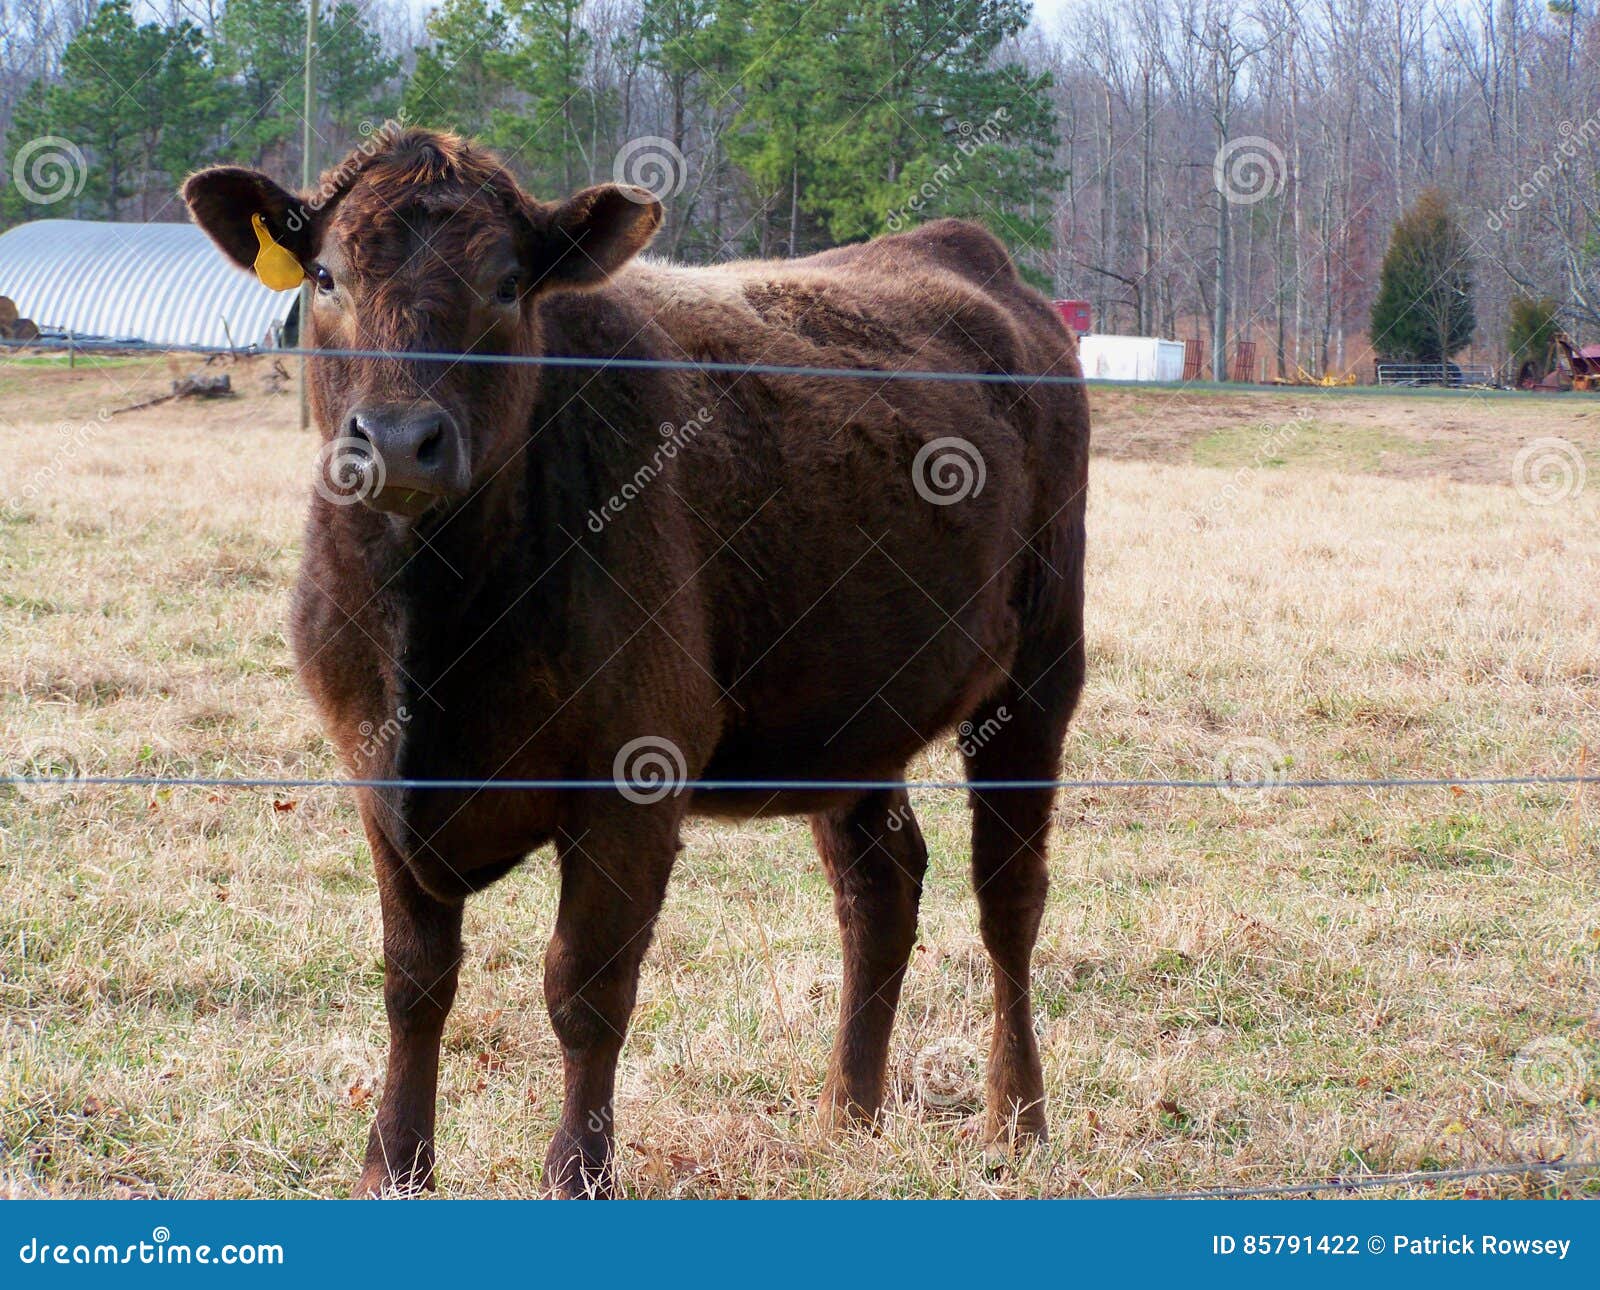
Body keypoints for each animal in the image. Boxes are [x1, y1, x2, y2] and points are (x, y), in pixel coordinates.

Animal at [182, 128, 1088, 1198]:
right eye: (326, 275)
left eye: (508, 284)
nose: (399, 441)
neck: (433, 624)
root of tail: (965, 252)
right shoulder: (375, 772)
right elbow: (413, 979)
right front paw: (393, 1166)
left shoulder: (633, 775)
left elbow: (585, 987)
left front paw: (578, 1172)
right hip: (854, 714)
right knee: (880, 891)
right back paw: (848, 1114)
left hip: (1040, 674)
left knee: (1009, 899)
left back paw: (1017, 1120)